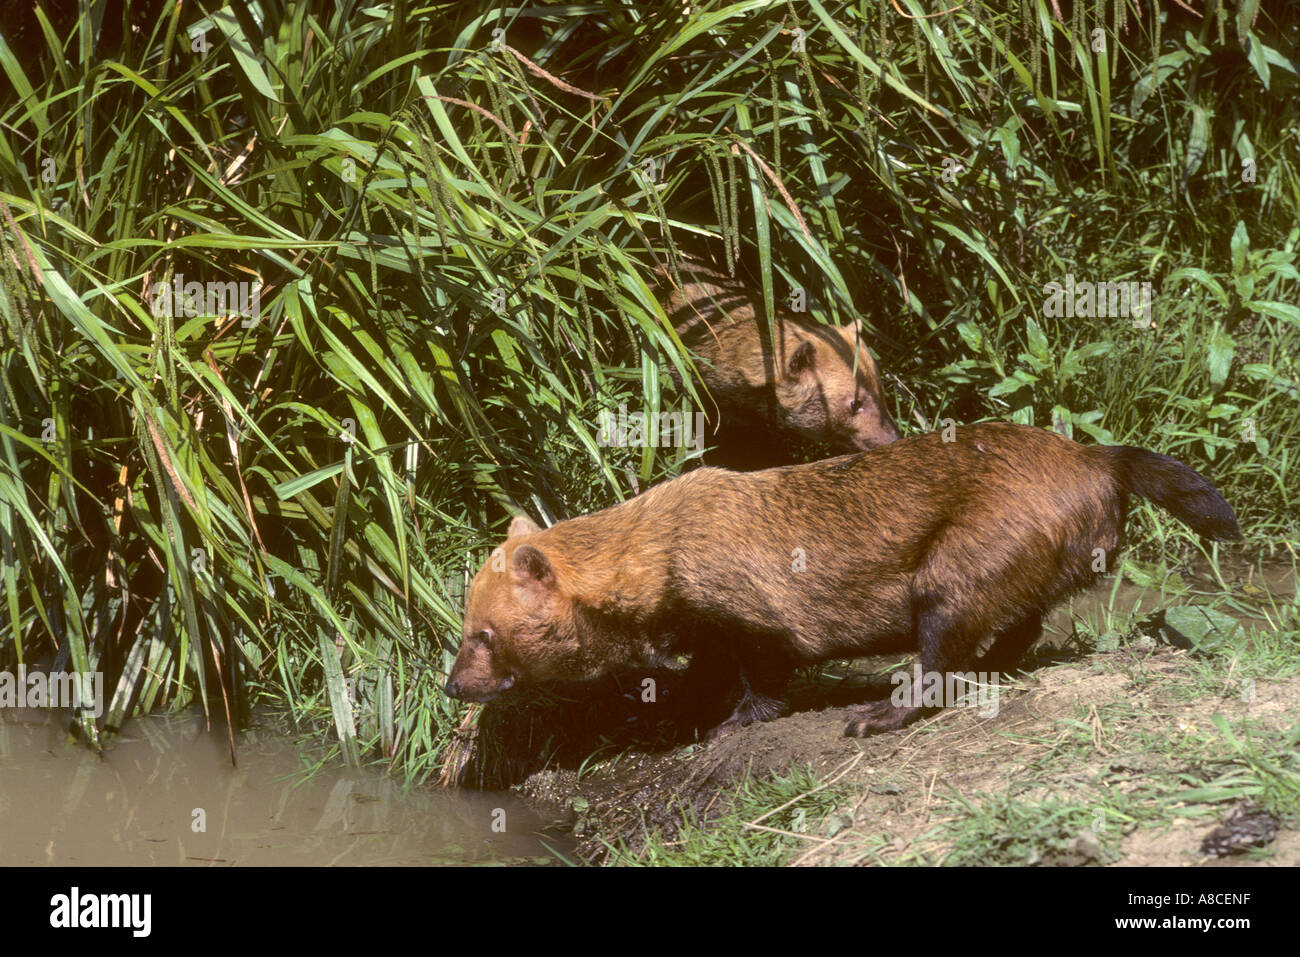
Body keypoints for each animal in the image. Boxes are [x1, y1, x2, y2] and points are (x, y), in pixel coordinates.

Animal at [445, 423, 1240, 738]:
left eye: (481, 632)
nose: (452, 685)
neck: (659, 551)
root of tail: (1096, 458)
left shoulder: (750, 610)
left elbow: (759, 672)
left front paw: (731, 718)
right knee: (1019, 622)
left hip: (961, 558)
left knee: (944, 644)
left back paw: (882, 712)